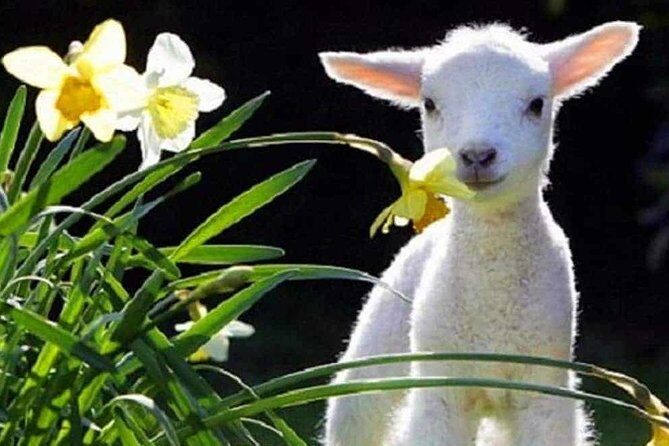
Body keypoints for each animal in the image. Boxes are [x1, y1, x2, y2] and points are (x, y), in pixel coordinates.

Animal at [319, 21, 640, 446]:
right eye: (429, 104)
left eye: (536, 104)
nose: (477, 155)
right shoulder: (440, 389)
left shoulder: (544, 389)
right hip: (369, 377)